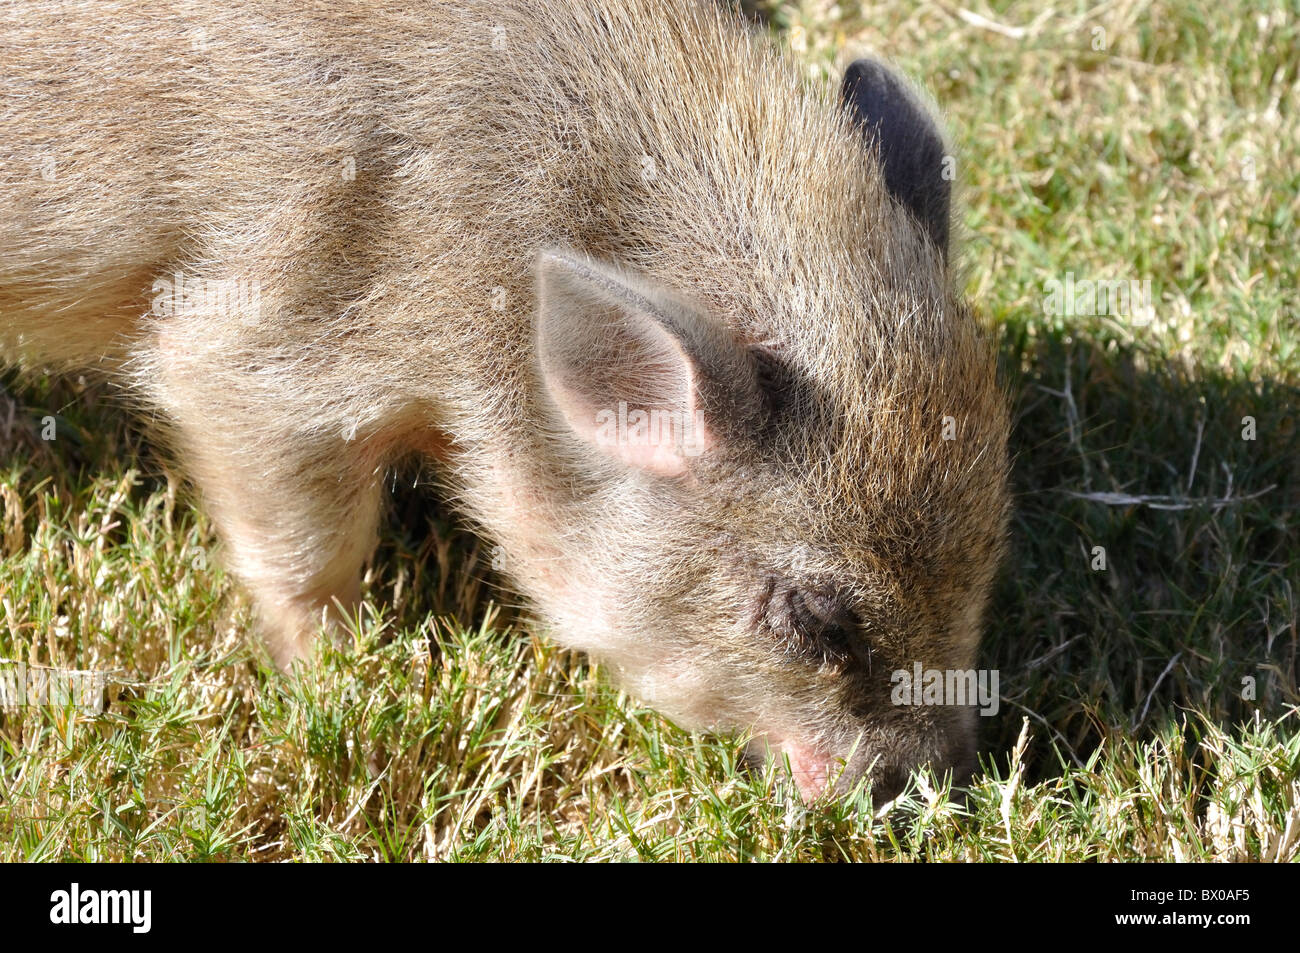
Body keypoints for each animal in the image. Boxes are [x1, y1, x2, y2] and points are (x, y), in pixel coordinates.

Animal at [0, 0, 1011, 802]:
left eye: (991, 552)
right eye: (818, 617)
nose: (941, 784)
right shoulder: (243, 357)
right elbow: (305, 557)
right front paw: (340, 680)